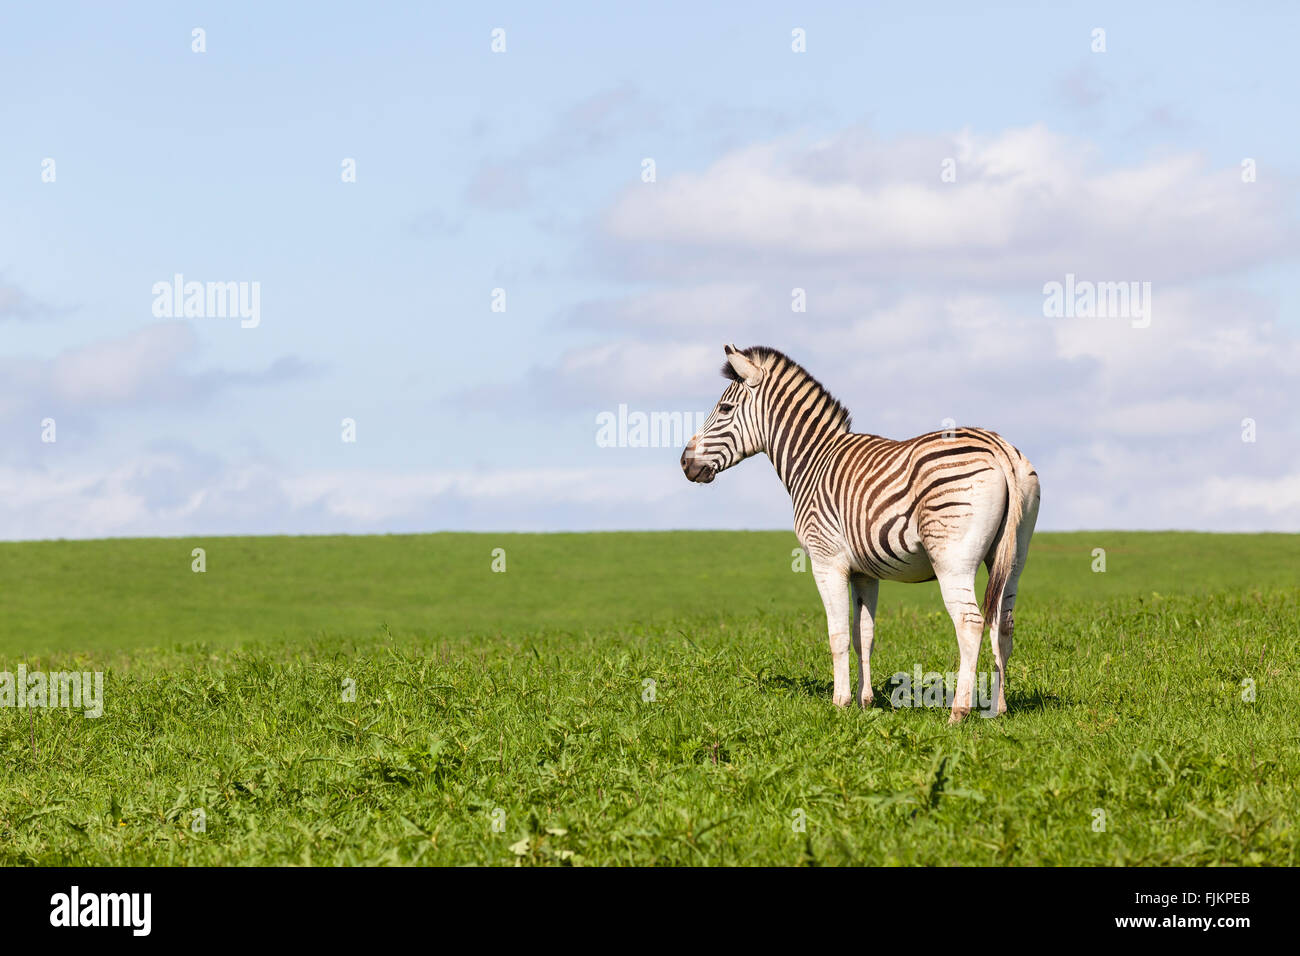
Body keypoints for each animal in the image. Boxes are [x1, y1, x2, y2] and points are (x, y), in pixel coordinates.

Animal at [680, 345, 1041, 722]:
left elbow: (837, 634)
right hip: (1012, 556)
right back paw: (998, 708)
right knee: (1003, 622)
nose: (684, 463)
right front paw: (865, 701)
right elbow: (862, 634)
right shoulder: (865, 572)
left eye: (724, 409)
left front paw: (839, 702)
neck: (812, 461)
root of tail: (998, 446)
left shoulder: (827, 562)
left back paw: (959, 711)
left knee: (970, 623)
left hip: (952, 559)